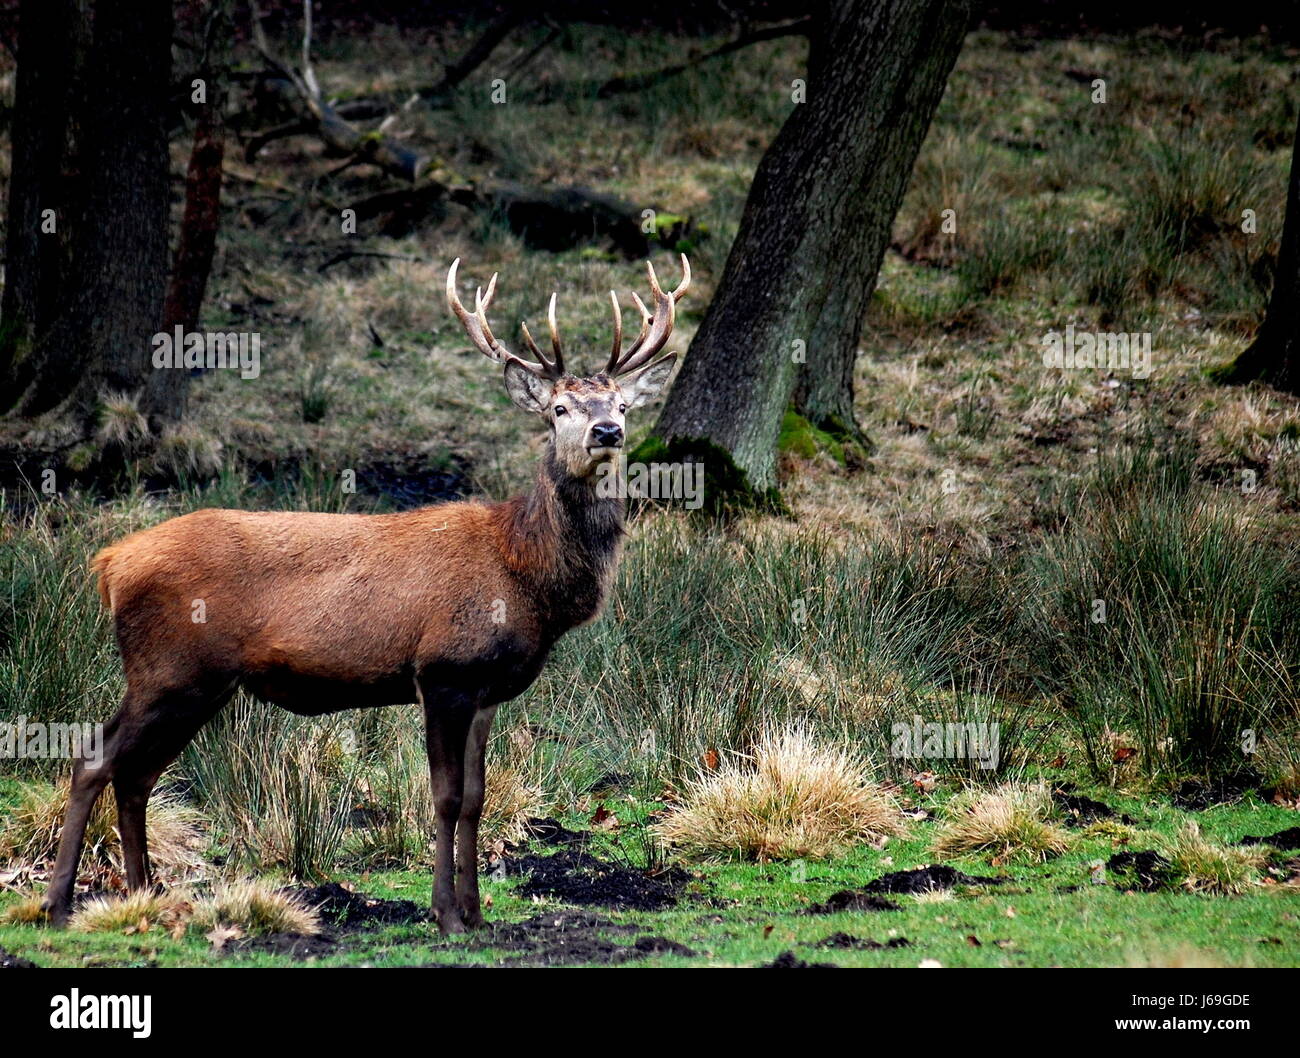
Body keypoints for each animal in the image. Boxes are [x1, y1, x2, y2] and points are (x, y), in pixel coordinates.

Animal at [42, 255, 690, 934]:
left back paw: (147, 895)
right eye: (560, 408)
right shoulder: (443, 669)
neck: (525, 575)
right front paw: (447, 916)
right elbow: (446, 797)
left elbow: (477, 799)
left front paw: (477, 915)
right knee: (95, 758)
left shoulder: (488, 690)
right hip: (168, 667)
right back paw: (60, 905)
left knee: (136, 774)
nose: (607, 430)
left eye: (623, 402)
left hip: (197, 682)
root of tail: (109, 562)